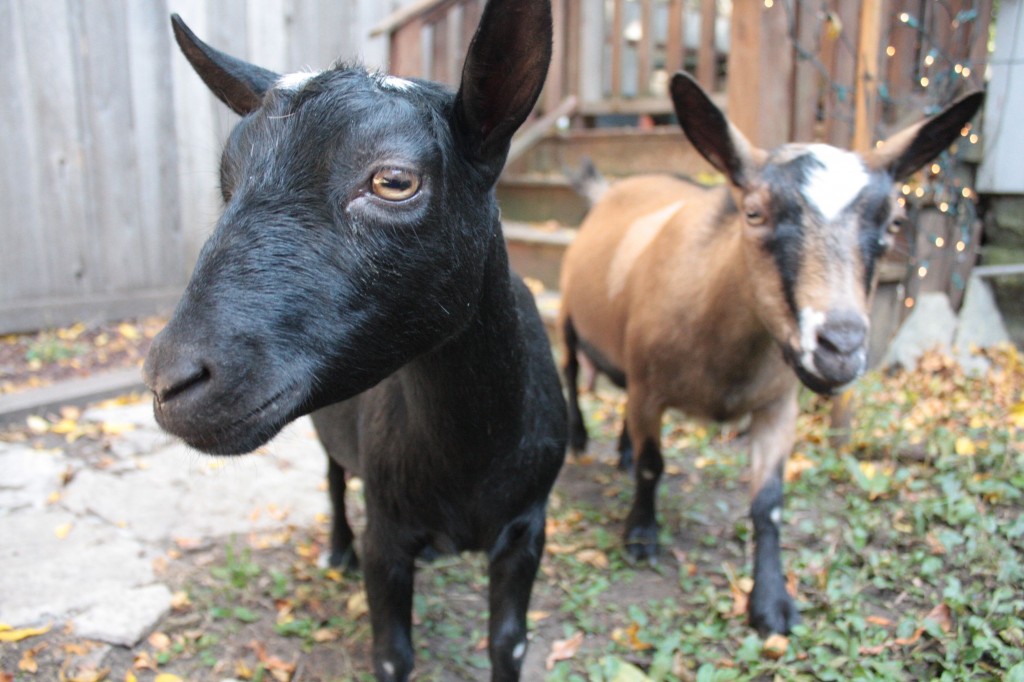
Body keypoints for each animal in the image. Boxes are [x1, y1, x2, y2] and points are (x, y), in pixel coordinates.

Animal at [142, 2, 566, 679]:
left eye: (394, 180)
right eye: (226, 181)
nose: (171, 380)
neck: (471, 455)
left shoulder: (528, 530)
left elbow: (509, 643)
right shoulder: (386, 537)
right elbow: (392, 655)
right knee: (335, 481)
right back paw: (335, 549)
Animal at [559, 71, 983, 636]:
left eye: (893, 223)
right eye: (754, 212)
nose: (840, 348)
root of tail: (612, 189)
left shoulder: (779, 404)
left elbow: (769, 504)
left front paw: (771, 603)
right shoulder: (652, 389)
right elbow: (654, 465)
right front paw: (642, 535)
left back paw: (621, 451)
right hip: (568, 314)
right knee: (570, 371)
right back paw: (581, 437)